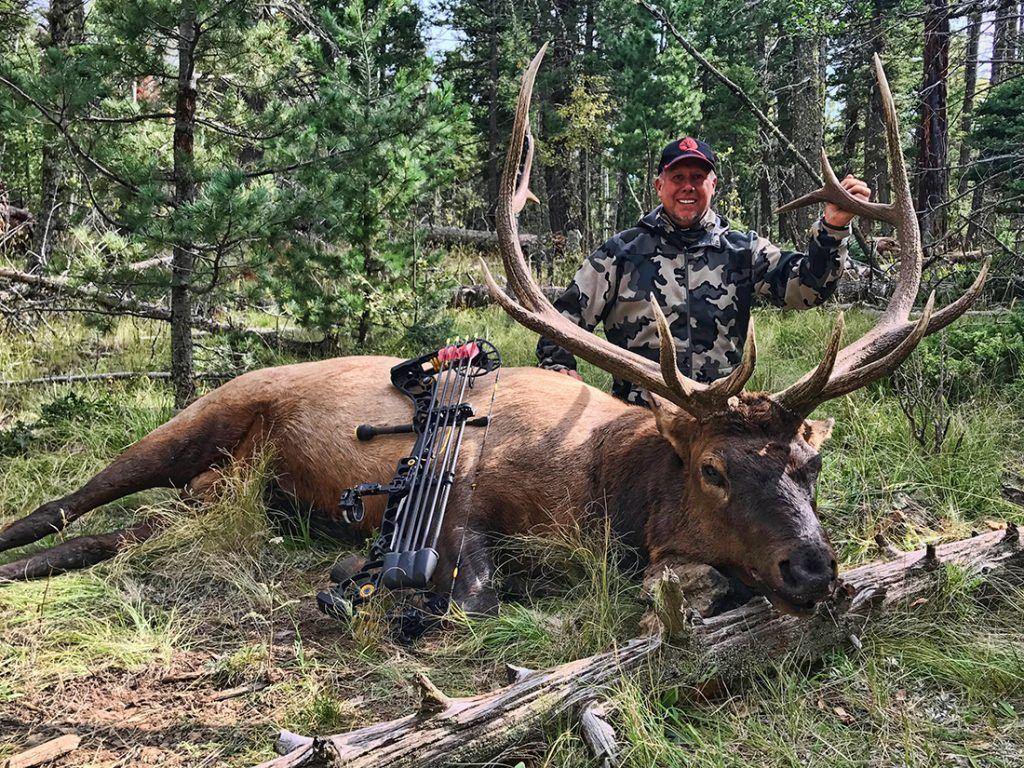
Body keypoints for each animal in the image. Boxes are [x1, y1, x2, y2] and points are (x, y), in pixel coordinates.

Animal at [0, 48, 987, 619]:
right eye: (712, 468)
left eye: (810, 463)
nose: (814, 570)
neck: (605, 486)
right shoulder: (467, 510)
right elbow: (475, 589)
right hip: (194, 420)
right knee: (67, 503)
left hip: (224, 493)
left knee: (133, 529)